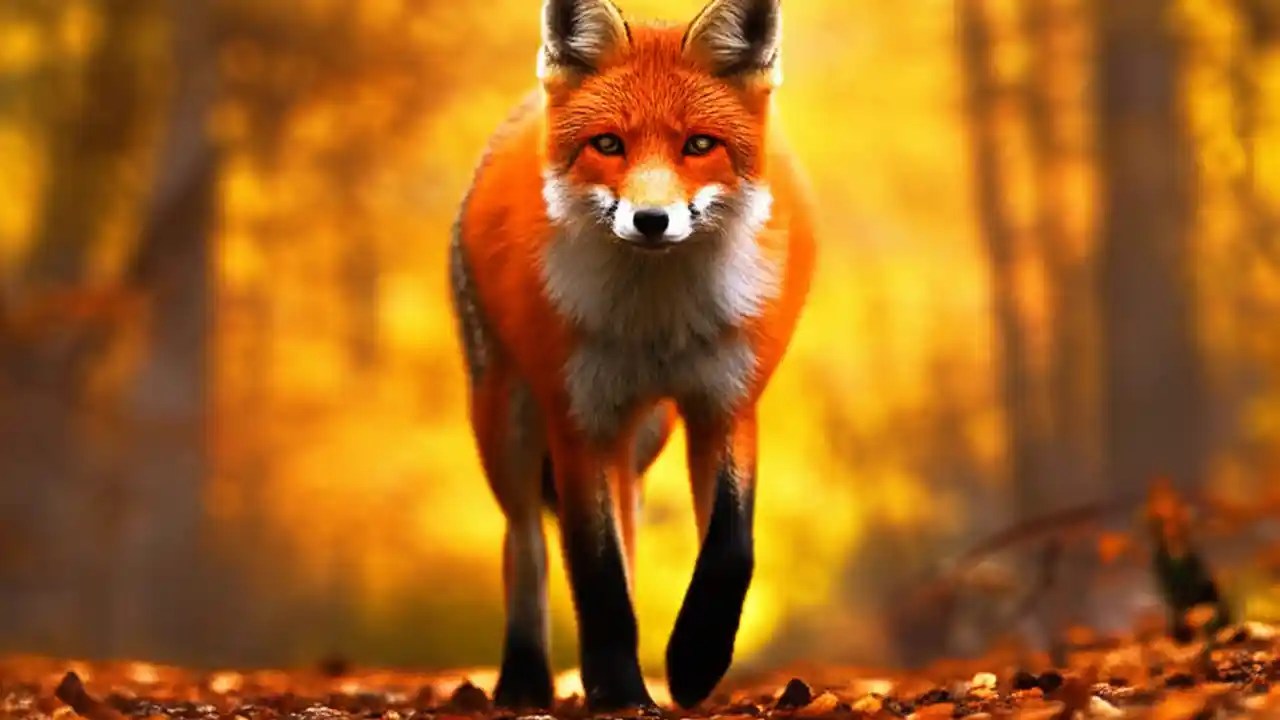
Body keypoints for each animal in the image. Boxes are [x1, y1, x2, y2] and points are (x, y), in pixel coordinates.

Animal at [448, 0, 815, 711]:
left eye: (699, 145)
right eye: (608, 144)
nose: (651, 220)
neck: (658, 324)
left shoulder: (727, 405)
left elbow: (730, 551)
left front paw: (694, 662)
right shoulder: (578, 418)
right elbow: (595, 574)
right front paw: (619, 693)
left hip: (640, 440)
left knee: (629, 537)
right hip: (508, 422)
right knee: (525, 545)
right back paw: (524, 679)